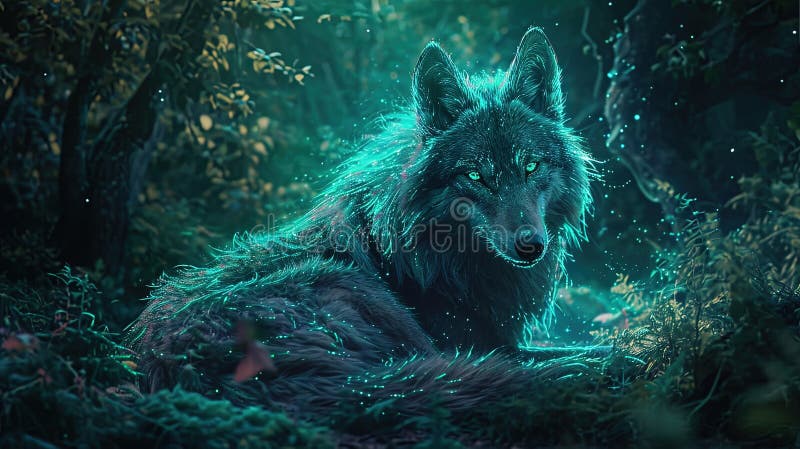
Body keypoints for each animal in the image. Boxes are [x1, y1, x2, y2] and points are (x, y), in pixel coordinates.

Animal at [127, 27, 593, 432]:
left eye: (530, 166)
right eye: (476, 176)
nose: (530, 245)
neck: (431, 254)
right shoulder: (480, 342)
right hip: (355, 289)